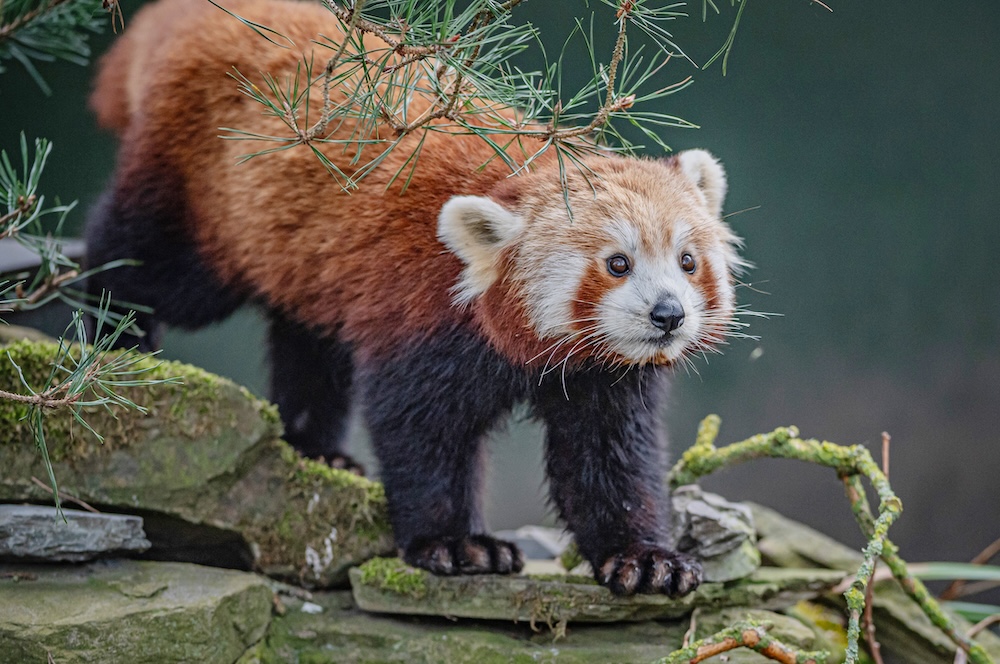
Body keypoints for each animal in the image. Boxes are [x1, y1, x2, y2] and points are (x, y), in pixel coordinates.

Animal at [86, 0, 746, 596]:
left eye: (688, 262)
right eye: (617, 264)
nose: (668, 314)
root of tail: (188, 16)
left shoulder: (602, 375)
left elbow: (609, 460)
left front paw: (643, 557)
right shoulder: (420, 311)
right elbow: (422, 432)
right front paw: (457, 544)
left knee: (309, 340)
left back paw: (317, 450)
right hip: (205, 199)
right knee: (140, 264)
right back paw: (110, 346)